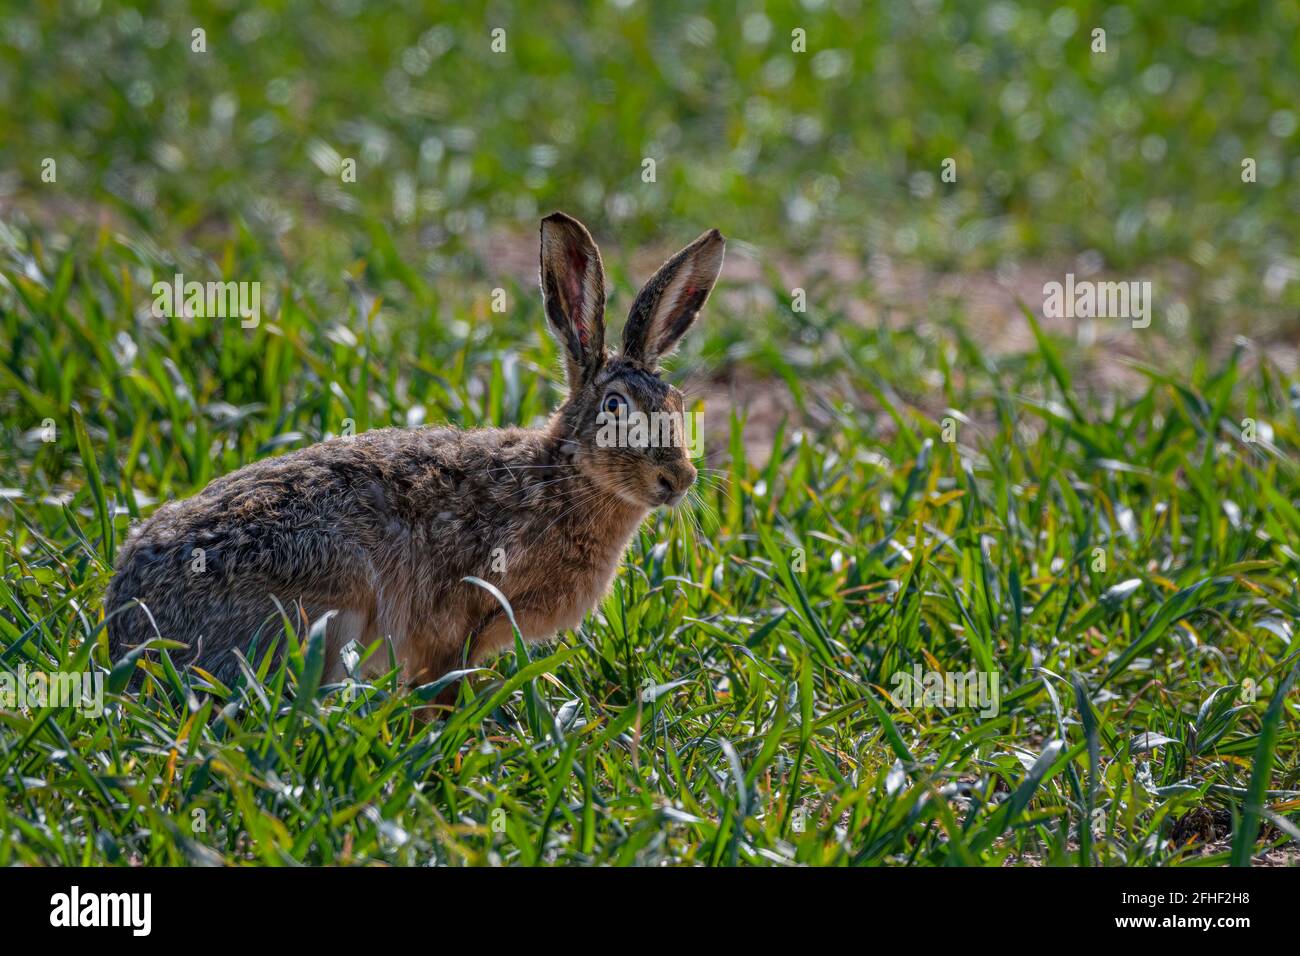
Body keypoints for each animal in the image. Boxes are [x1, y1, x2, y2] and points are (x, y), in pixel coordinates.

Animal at [105, 213, 725, 706]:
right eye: (615, 406)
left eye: (677, 404)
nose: (678, 478)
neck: (565, 476)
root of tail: (125, 627)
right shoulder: (458, 620)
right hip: (331, 609)